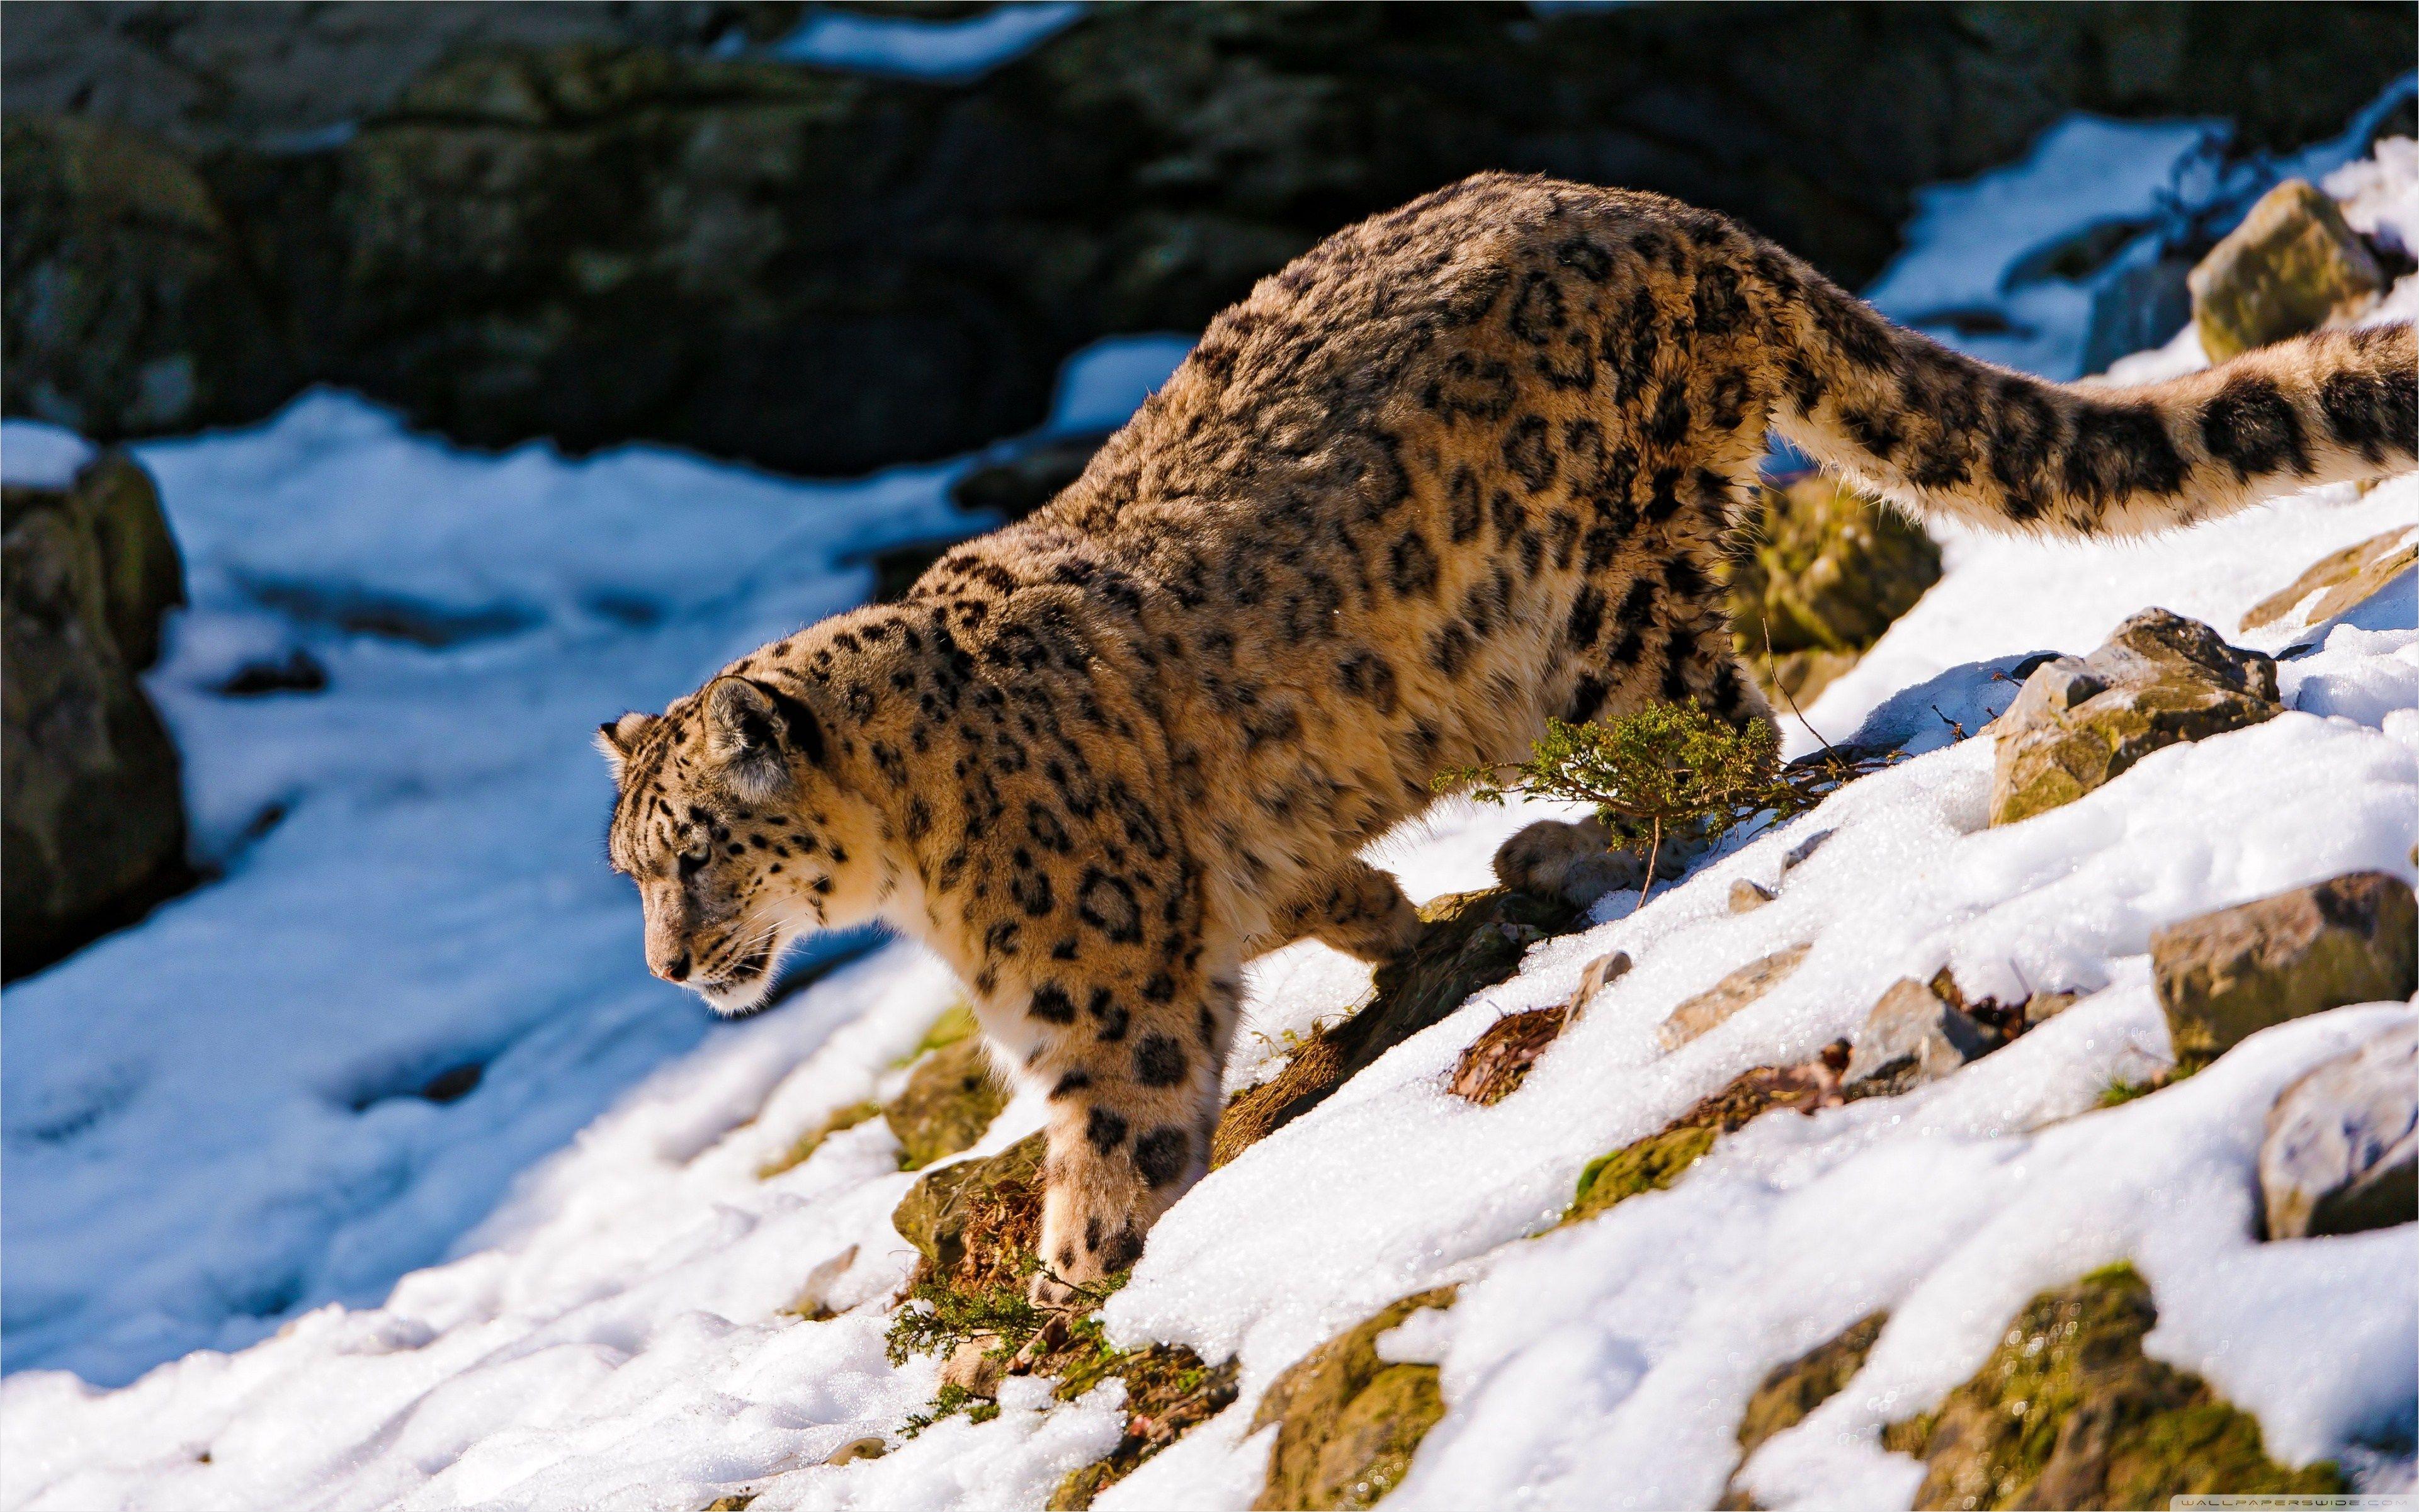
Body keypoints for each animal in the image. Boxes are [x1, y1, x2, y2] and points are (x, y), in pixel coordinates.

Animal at [599, 171, 2415, 1302]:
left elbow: (1117, 1143)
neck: (914, 866)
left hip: (1602, 605)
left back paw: (1569, 842)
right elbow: (1310, 885)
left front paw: (1071, 1290)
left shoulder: (1104, 999)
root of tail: (1664, 212)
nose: (671, 968)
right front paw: (1382, 919)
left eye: (699, 855)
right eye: (631, 870)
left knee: (1724, 738)